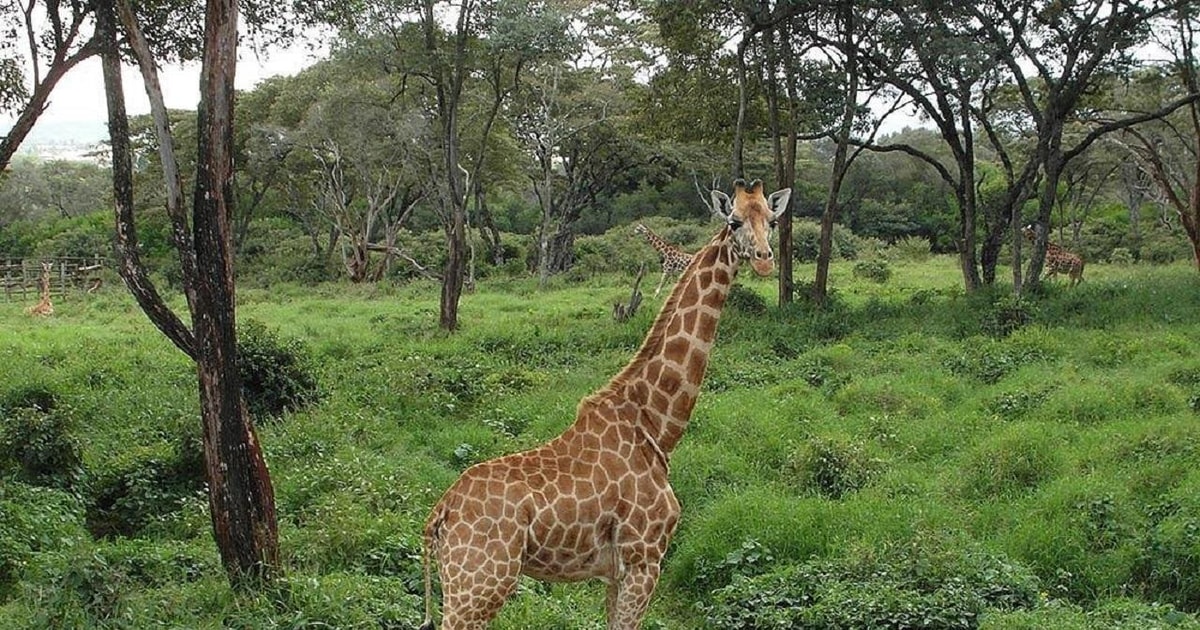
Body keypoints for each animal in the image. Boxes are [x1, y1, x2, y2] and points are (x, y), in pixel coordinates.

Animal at [418, 179, 791, 630]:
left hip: (461, 583)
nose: (765, 261)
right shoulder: (644, 558)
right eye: (734, 221)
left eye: (772, 220)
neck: (656, 425)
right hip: (480, 584)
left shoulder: (616, 571)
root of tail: (440, 514)